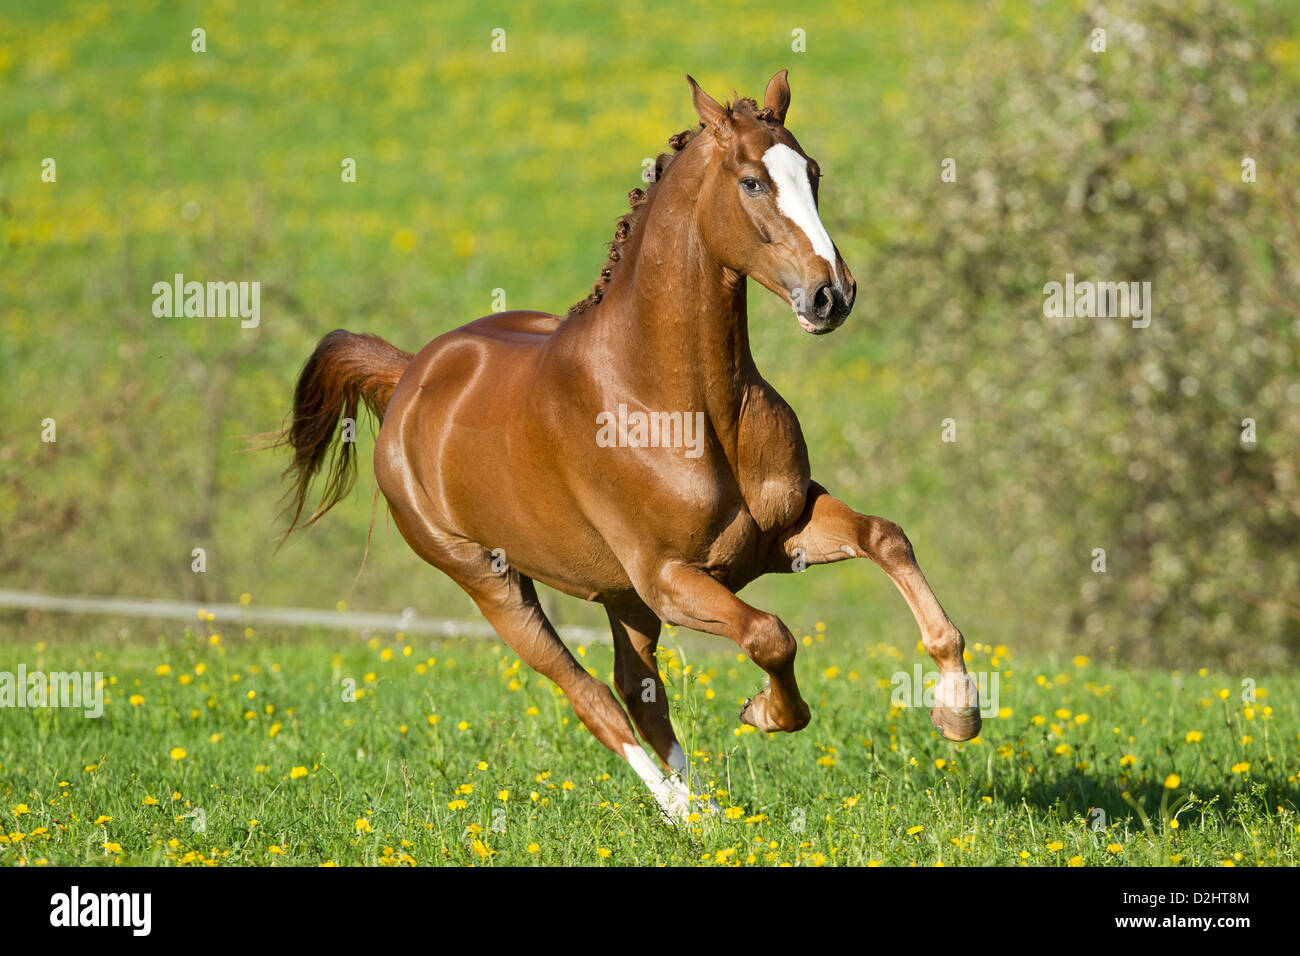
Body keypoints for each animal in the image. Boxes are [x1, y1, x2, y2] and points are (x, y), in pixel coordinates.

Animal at [279, 71, 980, 821]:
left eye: (813, 173)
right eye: (751, 181)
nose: (832, 295)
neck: (679, 402)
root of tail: (410, 373)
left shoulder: (783, 533)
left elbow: (885, 538)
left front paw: (957, 710)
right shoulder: (671, 578)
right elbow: (771, 635)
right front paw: (764, 713)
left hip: (620, 597)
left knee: (638, 691)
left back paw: (706, 809)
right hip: (492, 583)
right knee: (590, 695)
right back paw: (686, 815)